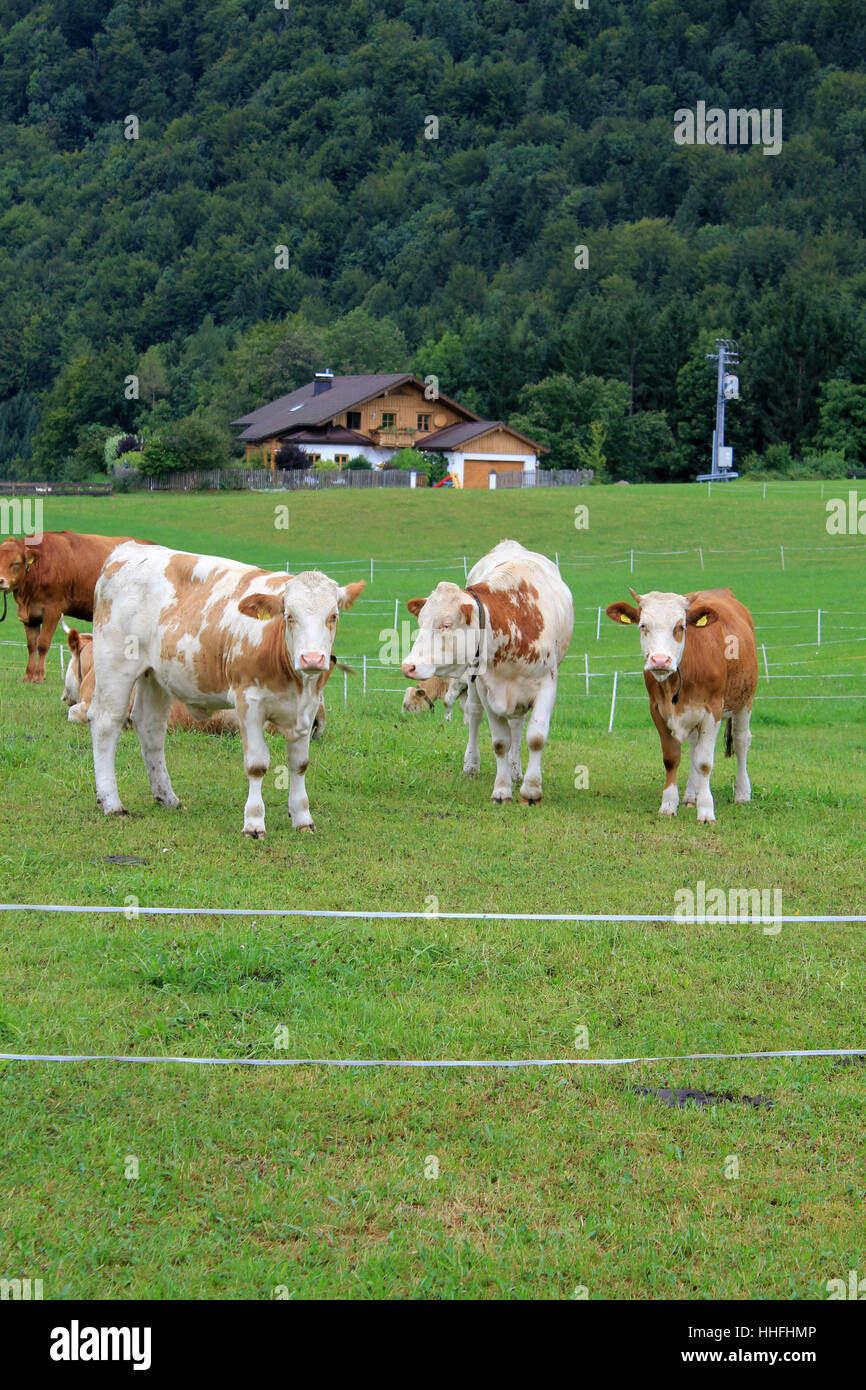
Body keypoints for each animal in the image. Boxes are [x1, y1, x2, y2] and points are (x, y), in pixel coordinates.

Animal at [0, 530, 150, 683]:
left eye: (16, 562)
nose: (1, 580)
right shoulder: (30, 616)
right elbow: (31, 645)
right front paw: (28, 676)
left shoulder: (52, 611)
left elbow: (42, 644)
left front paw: (38, 676)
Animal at [91, 542, 366, 834]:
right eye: (289, 616)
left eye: (333, 616)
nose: (312, 659)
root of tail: (128, 549)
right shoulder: (249, 702)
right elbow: (256, 765)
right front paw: (254, 823)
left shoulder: (308, 707)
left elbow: (299, 764)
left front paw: (303, 818)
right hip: (114, 664)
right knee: (107, 723)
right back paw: (112, 803)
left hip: (155, 675)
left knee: (149, 726)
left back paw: (167, 797)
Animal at [400, 539, 575, 806]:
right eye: (420, 623)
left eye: (446, 624)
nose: (408, 666)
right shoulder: (485, 686)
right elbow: (500, 742)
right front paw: (502, 790)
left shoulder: (546, 684)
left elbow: (535, 738)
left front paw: (531, 790)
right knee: (474, 715)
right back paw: (472, 764)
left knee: (517, 725)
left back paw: (516, 770)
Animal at [606, 581, 756, 817]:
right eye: (643, 626)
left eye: (681, 627)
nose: (660, 660)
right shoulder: (657, 709)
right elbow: (672, 758)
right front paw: (669, 805)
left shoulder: (712, 710)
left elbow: (704, 763)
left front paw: (706, 811)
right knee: (695, 747)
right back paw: (690, 796)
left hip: (744, 700)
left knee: (741, 741)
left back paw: (742, 793)